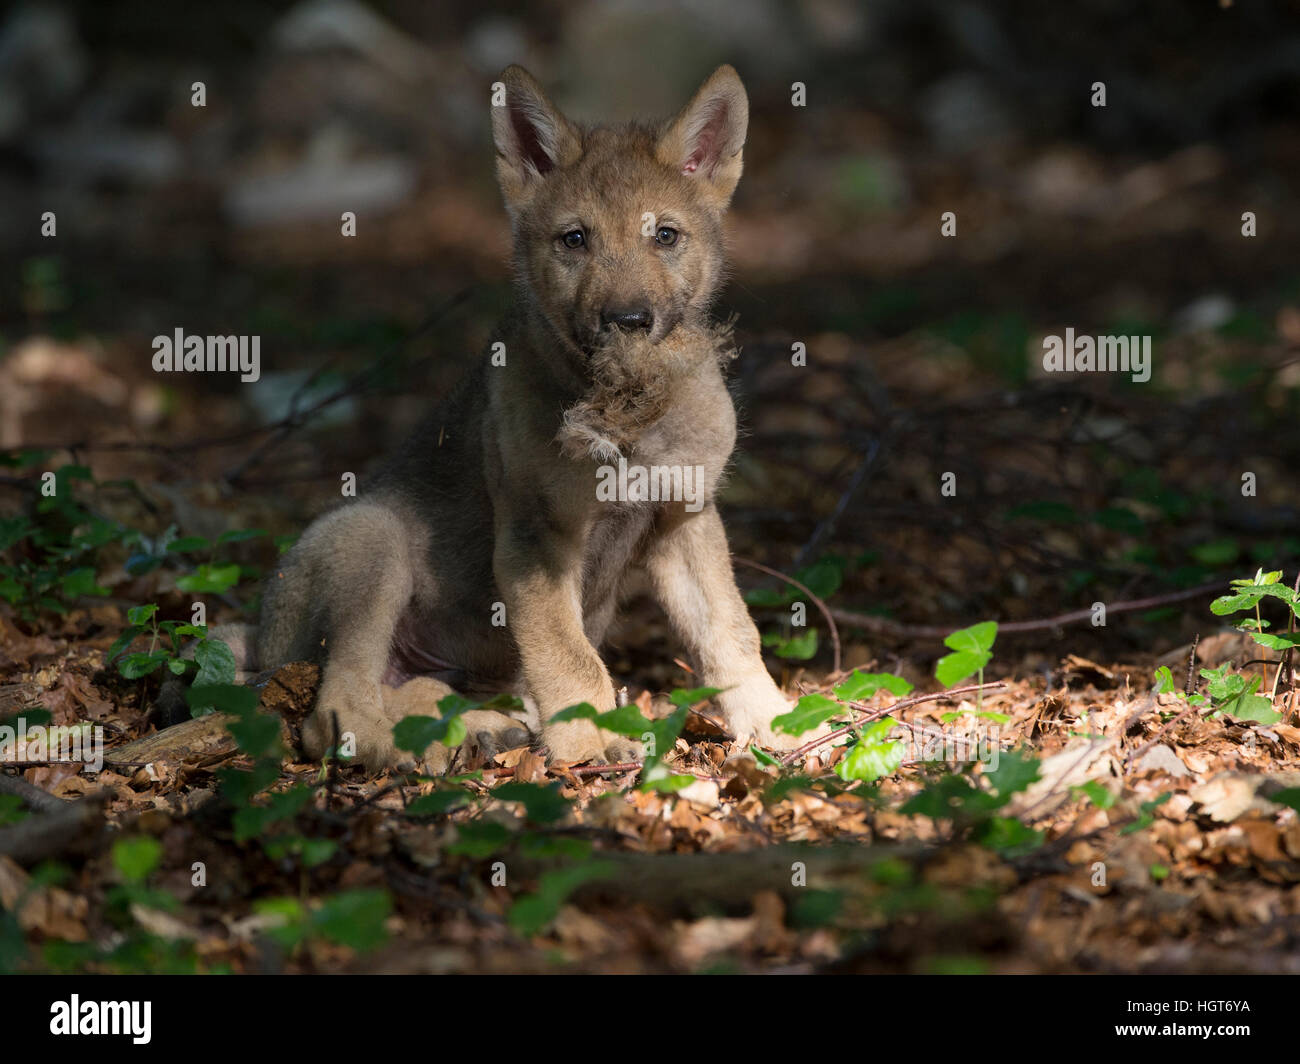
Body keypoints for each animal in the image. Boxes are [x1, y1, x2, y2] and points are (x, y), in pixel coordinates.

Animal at [256, 63, 801, 772]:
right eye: (575, 240)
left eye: (665, 235)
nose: (628, 321)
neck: (629, 418)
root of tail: (253, 652)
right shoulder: (536, 537)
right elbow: (571, 658)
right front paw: (589, 744)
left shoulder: (684, 517)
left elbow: (730, 633)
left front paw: (773, 723)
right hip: (370, 536)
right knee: (336, 707)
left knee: (421, 690)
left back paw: (487, 728)